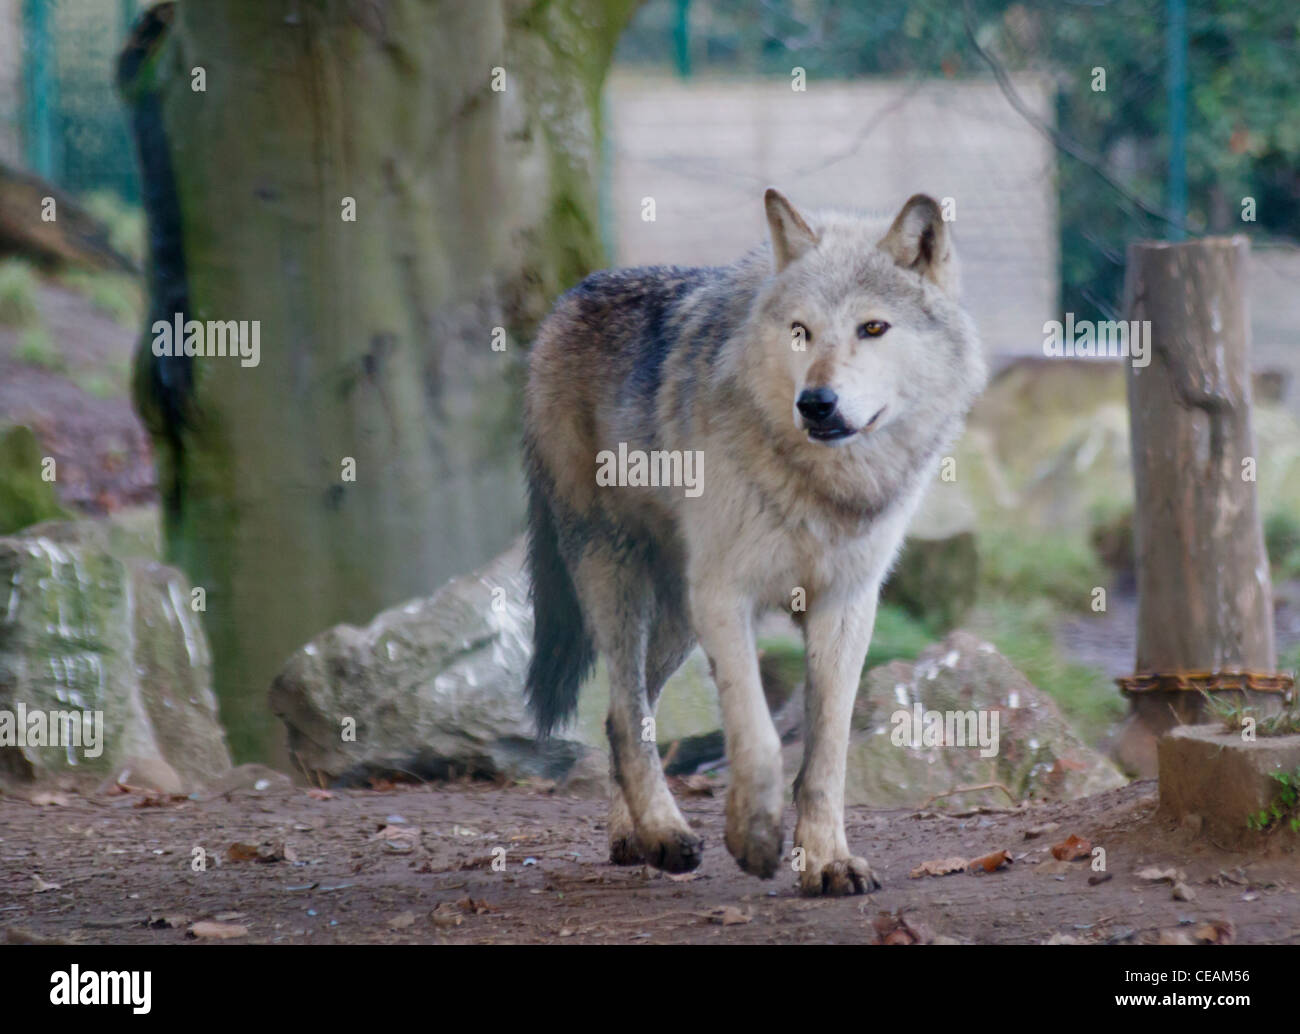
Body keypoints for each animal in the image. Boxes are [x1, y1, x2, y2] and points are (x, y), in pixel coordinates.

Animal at [523, 189, 986, 895]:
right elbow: (759, 737)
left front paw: (825, 860)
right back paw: (665, 833)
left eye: (873, 329)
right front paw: (754, 837)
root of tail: (569, 297)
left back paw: (633, 835)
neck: (823, 487)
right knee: (627, 714)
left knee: (624, 713)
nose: (816, 402)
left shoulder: (846, 604)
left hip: (676, 618)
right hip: (618, 574)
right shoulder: (726, 593)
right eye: (800, 331)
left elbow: (827, 752)